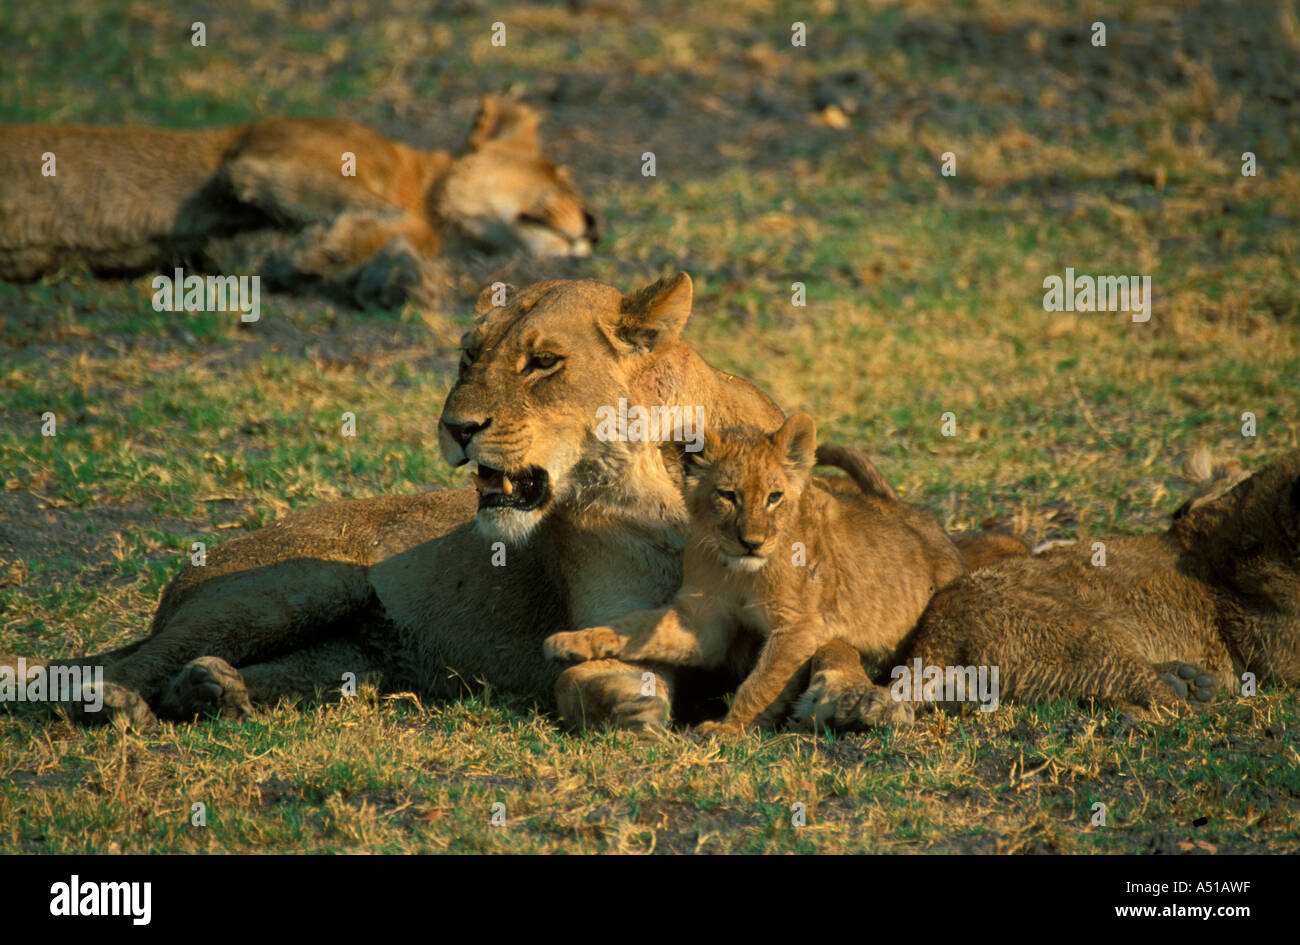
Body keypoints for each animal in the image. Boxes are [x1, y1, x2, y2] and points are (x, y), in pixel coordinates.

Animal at [0, 96, 599, 308]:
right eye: (559, 175)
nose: (595, 226)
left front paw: (388, 281)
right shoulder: (262, 161)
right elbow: (389, 213)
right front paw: (324, 250)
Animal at [1, 273, 788, 731]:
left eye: (543, 362)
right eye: (468, 355)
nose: (457, 426)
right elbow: (599, 676)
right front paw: (631, 705)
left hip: (351, 661)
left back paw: (211, 691)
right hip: (296, 582)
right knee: (132, 663)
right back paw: (120, 701)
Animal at [542, 414, 968, 735]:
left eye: (774, 497)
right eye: (727, 495)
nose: (752, 542)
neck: (740, 574)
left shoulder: (798, 625)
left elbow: (761, 683)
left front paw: (728, 729)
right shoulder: (703, 621)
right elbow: (633, 626)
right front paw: (573, 642)